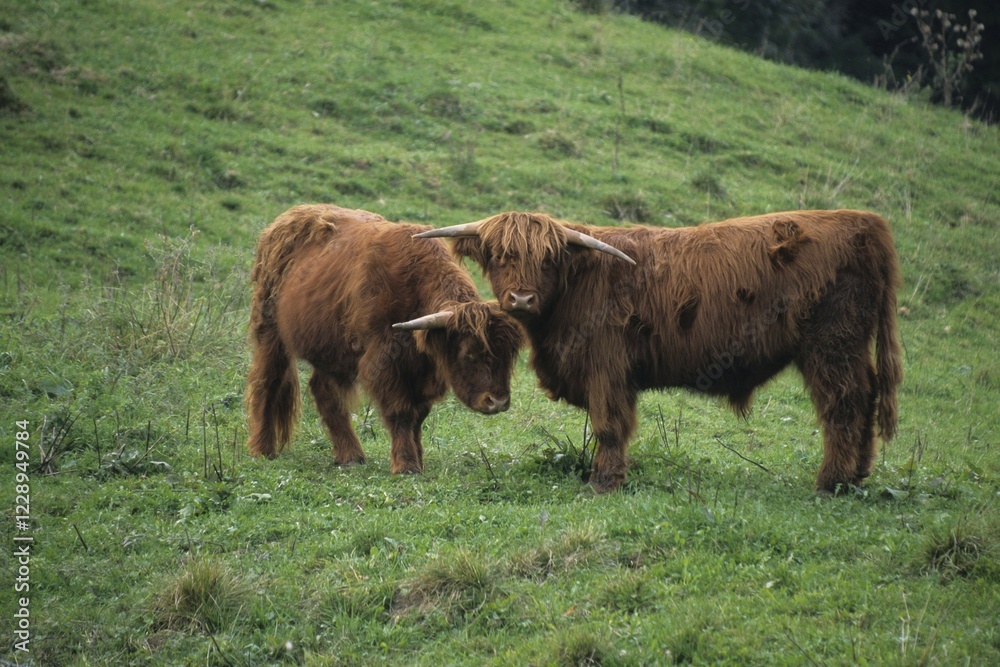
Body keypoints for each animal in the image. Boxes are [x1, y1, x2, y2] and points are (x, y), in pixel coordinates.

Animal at [245, 204, 523, 475]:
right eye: (469, 352)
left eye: (509, 355)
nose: (497, 402)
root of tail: (283, 221)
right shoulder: (385, 364)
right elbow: (401, 413)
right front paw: (406, 465)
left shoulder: (424, 372)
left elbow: (419, 416)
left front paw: (418, 459)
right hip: (270, 331)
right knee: (267, 382)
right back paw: (263, 449)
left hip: (331, 349)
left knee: (325, 391)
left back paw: (350, 456)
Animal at [417, 209, 903, 494]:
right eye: (498, 255)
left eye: (549, 258)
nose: (520, 298)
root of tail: (864, 221)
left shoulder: (608, 368)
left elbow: (609, 426)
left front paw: (604, 482)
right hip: (850, 344)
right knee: (867, 394)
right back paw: (858, 474)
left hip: (831, 342)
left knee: (843, 403)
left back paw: (831, 481)